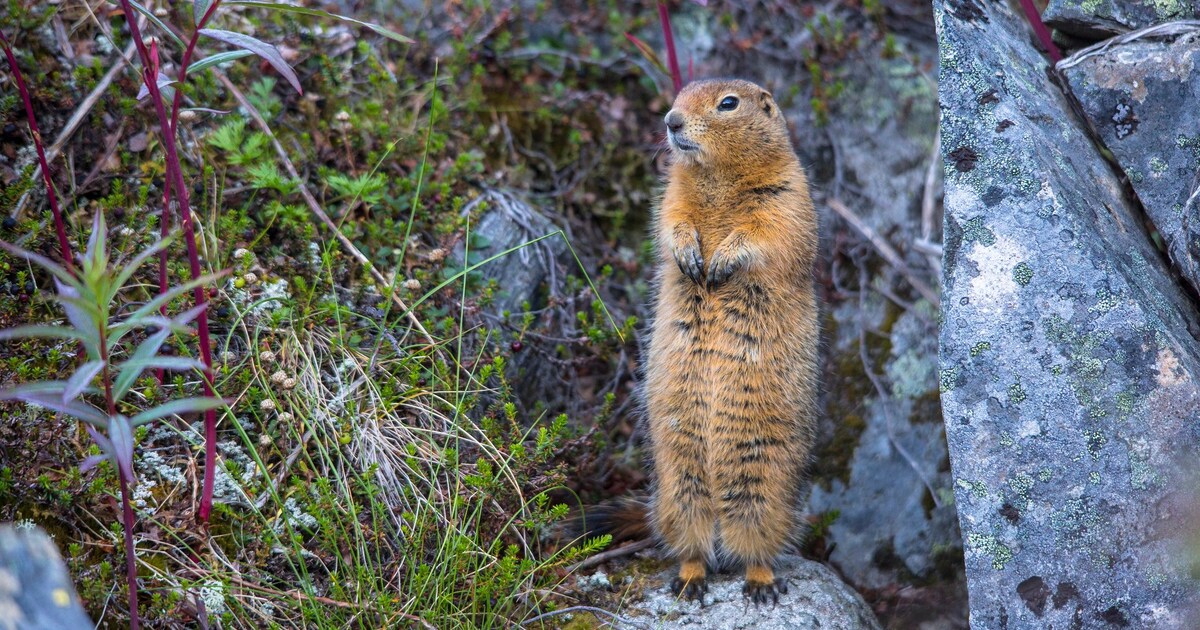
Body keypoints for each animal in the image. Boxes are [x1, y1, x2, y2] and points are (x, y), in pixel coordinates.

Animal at [580, 78, 819, 605]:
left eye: (728, 103)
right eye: (681, 92)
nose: (671, 121)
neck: (716, 176)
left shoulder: (787, 194)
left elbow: (768, 232)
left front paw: (723, 260)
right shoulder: (673, 193)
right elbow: (671, 220)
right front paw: (690, 255)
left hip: (764, 491)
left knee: (757, 545)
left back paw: (759, 581)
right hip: (677, 489)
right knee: (692, 543)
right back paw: (689, 578)